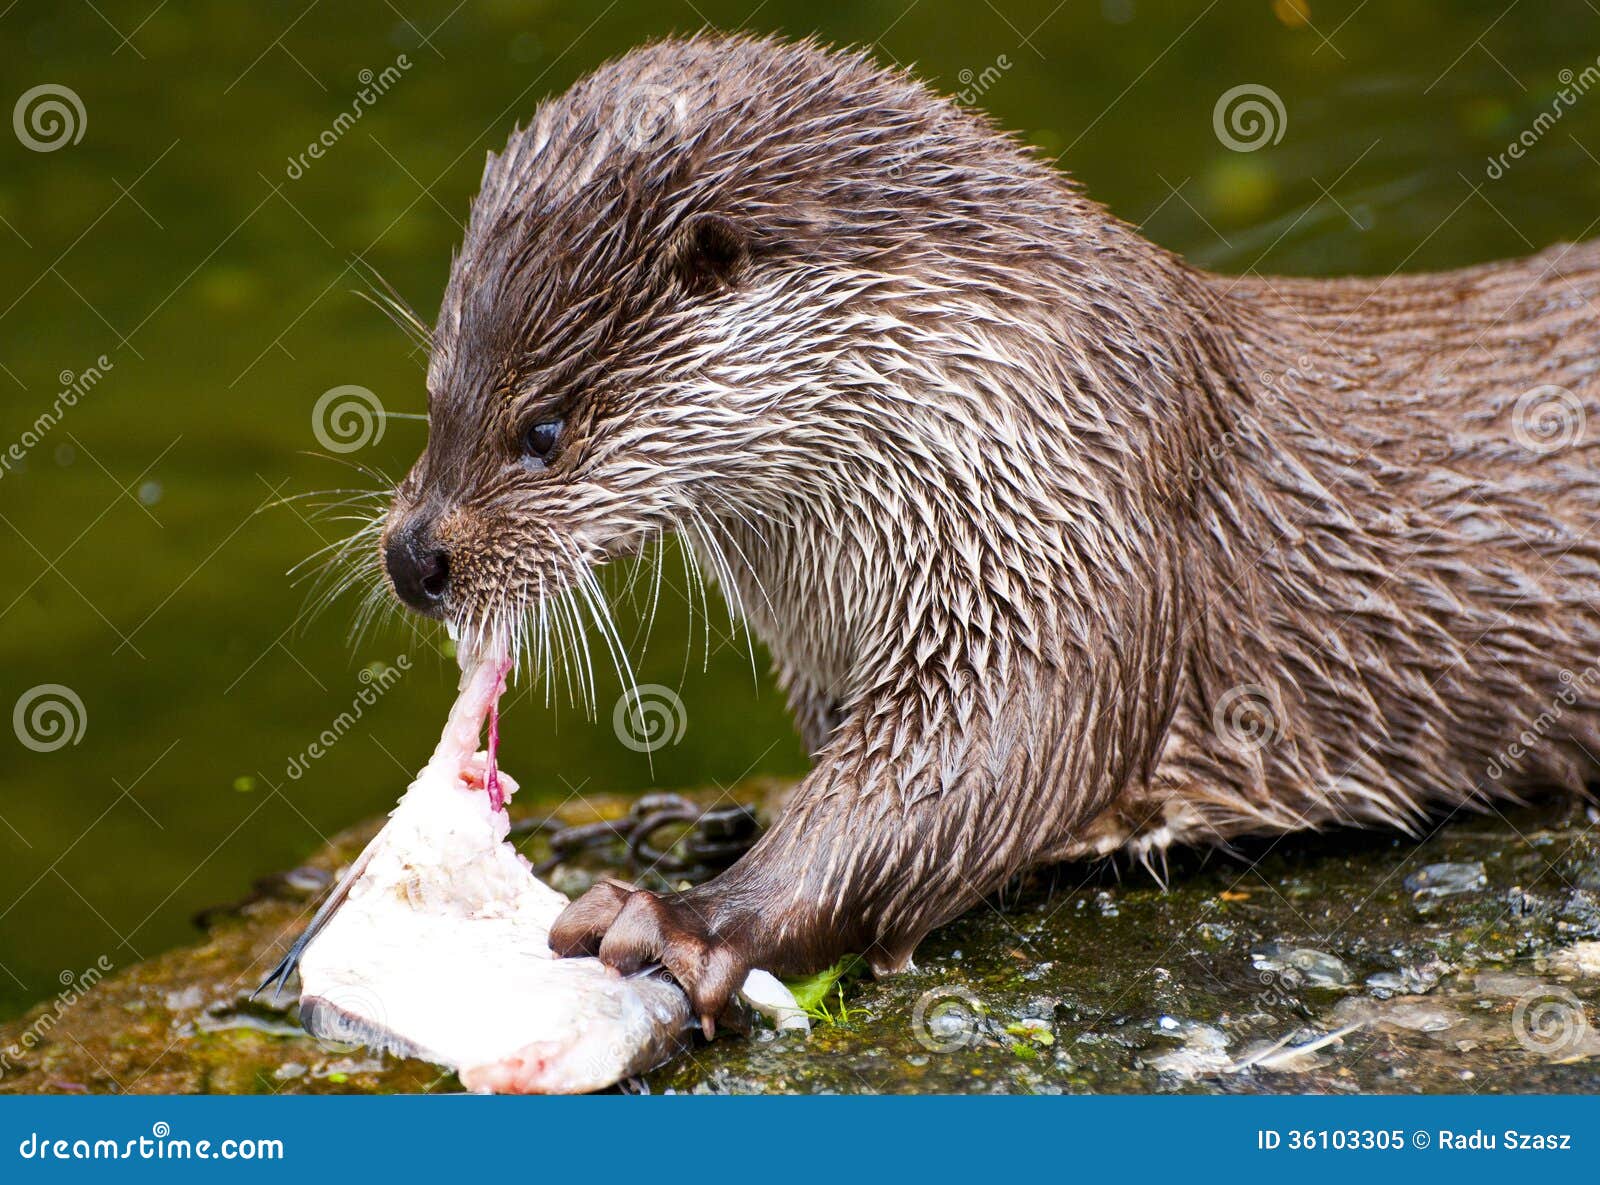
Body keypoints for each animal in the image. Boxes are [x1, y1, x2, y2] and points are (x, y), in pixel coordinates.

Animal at [379, 33, 1600, 1029]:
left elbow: (985, 761)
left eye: (543, 428)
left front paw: (693, 917)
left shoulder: (1067, 533)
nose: (413, 559)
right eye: (433, 393)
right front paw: (714, 823)